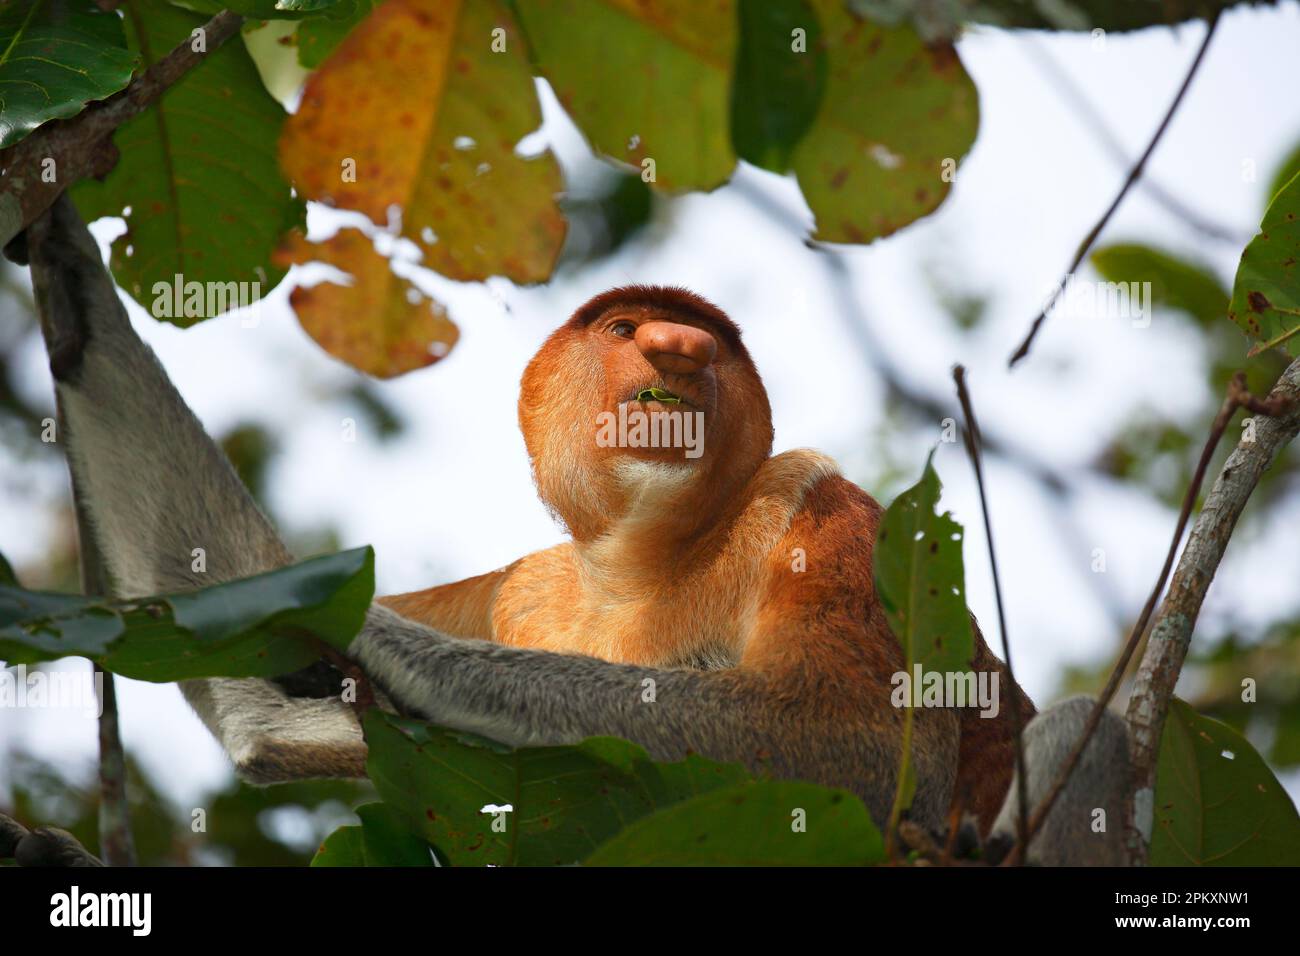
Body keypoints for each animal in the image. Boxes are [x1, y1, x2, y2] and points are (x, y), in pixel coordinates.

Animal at [17, 193, 1132, 862]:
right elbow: (250, 691)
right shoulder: (531, 582)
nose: (680, 348)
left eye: (709, 339)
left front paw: (388, 639)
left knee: (1086, 727)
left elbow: (849, 739)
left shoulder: (815, 505)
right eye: (625, 327)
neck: (641, 557)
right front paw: (63, 253)